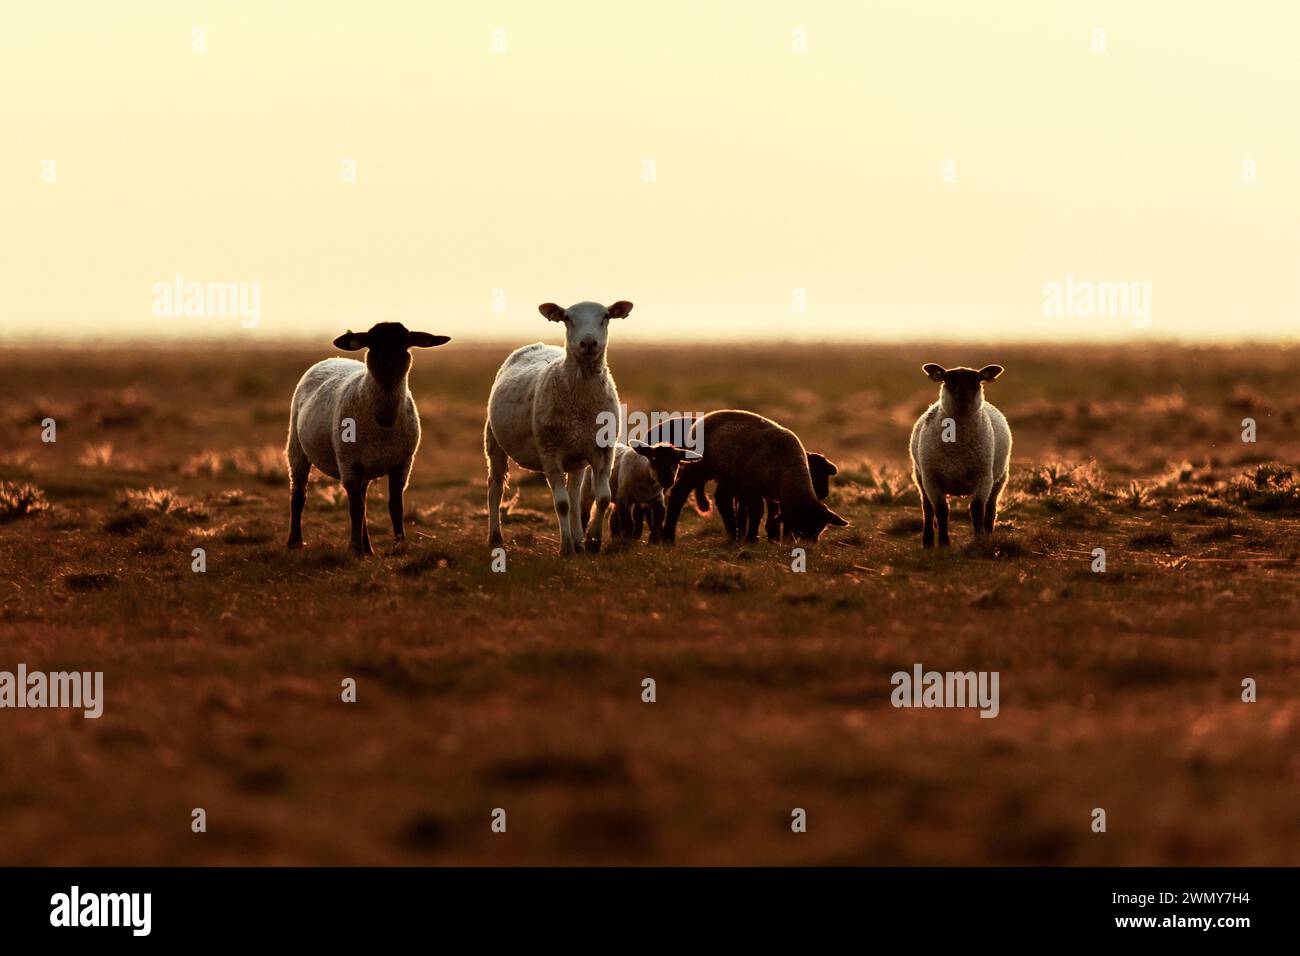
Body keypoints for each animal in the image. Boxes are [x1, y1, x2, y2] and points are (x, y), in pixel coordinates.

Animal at [285, 322, 450, 555]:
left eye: (405, 344)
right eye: (373, 345)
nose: (388, 370)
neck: (383, 421)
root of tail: (332, 358)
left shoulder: (402, 464)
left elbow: (394, 505)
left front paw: (399, 543)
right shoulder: (348, 464)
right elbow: (356, 508)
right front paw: (354, 549)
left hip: (365, 467)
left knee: (363, 502)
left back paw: (368, 548)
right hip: (297, 447)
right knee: (299, 494)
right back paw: (295, 541)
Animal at [484, 300, 633, 557]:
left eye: (606, 316)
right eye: (567, 318)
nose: (588, 342)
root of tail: (537, 345)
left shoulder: (604, 451)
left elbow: (603, 498)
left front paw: (592, 542)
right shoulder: (549, 453)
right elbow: (561, 504)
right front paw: (565, 548)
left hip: (577, 456)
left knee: (574, 496)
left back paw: (579, 540)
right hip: (494, 442)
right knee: (495, 489)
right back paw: (495, 538)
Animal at [661, 410, 848, 544]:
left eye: (819, 529)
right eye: (800, 526)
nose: (808, 547)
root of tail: (704, 418)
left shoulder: (771, 492)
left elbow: (773, 512)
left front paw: (771, 537)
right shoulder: (751, 487)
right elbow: (757, 511)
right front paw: (752, 539)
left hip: (727, 476)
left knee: (723, 500)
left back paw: (734, 534)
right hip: (699, 467)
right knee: (679, 493)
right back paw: (668, 537)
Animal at [909, 364, 1011, 547]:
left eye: (977, 381)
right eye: (947, 380)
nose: (962, 400)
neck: (957, 448)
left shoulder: (983, 476)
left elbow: (977, 508)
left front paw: (979, 540)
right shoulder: (931, 478)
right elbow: (941, 510)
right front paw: (944, 543)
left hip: (1000, 478)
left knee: (991, 507)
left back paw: (989, 533)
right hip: (920, 476)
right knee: (927, 507)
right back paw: (927, 541)